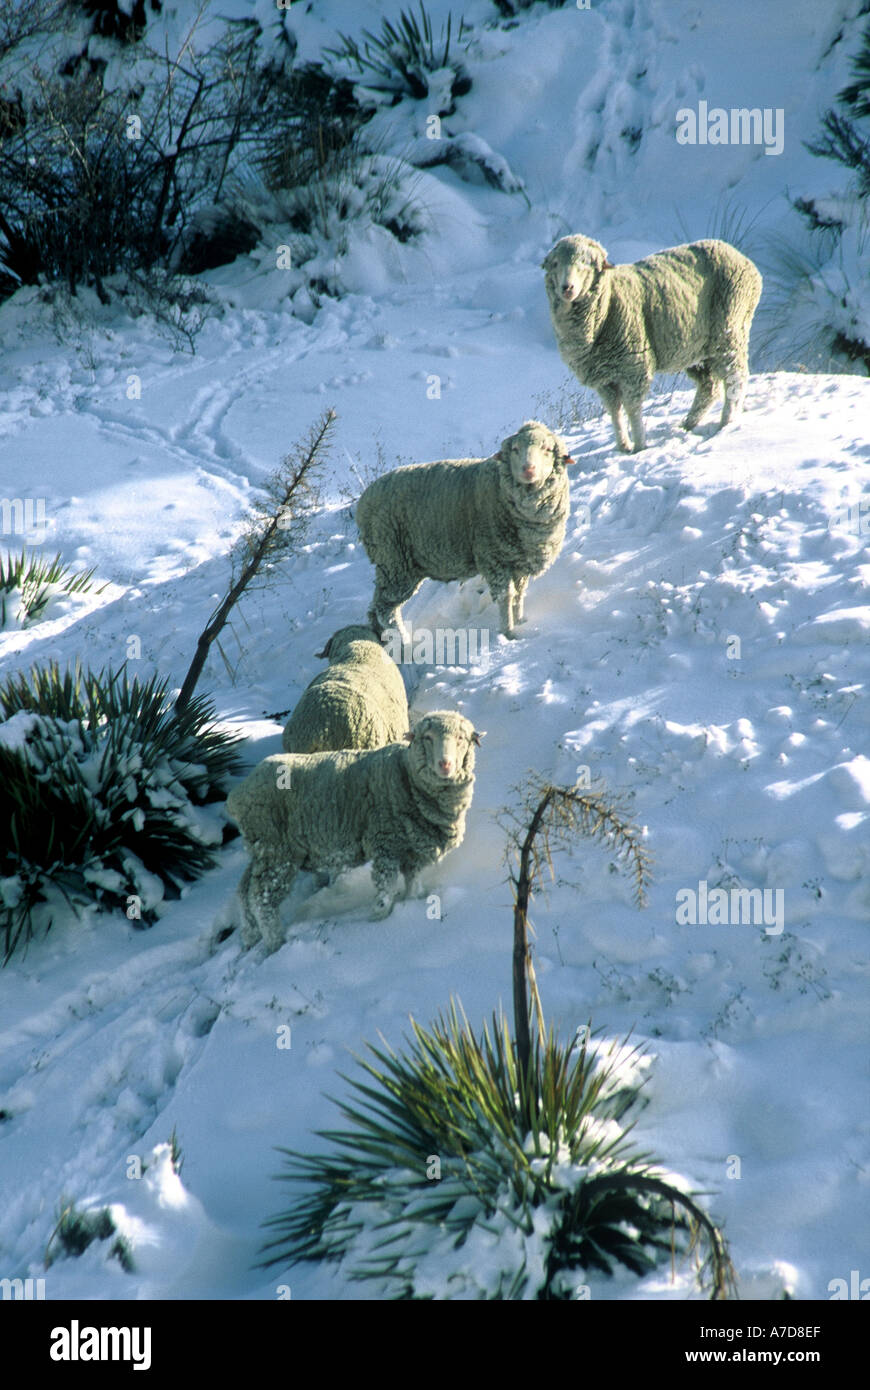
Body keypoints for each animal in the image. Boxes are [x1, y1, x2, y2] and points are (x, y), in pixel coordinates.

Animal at [226, 710, 482, 951]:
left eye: (461, 738)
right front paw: (379, 919)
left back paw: (250, 936)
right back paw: (274, 943)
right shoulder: (385, 843)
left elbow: (412, 881)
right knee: (261, 899)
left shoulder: (413, 848)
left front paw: (412, 902)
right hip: (277, 851)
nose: (445, 765)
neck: (407, 777)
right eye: (427, 738)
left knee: (243, 891)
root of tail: (237, 795)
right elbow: (386, 889)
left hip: (262, 849)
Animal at [355, 420, 574, 643]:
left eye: (547, 449)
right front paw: (508, 633)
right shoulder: (494, 558)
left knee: (375, 608)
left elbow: (519, 596)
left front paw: (520, 621)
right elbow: (506, 597)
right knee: (386, 610)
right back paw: (405, 641)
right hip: (395, 562)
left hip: (391, 566)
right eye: (515, 449)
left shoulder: (519, 562)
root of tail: (363, 501)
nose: (528, 469)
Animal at [541, 235, 762, 453]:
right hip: (695, 349)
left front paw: (639, 446)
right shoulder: (603, 379)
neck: (608, 302)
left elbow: (632, 409)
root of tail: (742, 258)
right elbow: (614, 411)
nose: (567, 288)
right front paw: (622, 446)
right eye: (555, 263)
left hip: (729, 328)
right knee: (710, 386)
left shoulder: (633, 366)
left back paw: (727, 421)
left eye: (586, 263)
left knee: (736, 377)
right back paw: (688, 424)